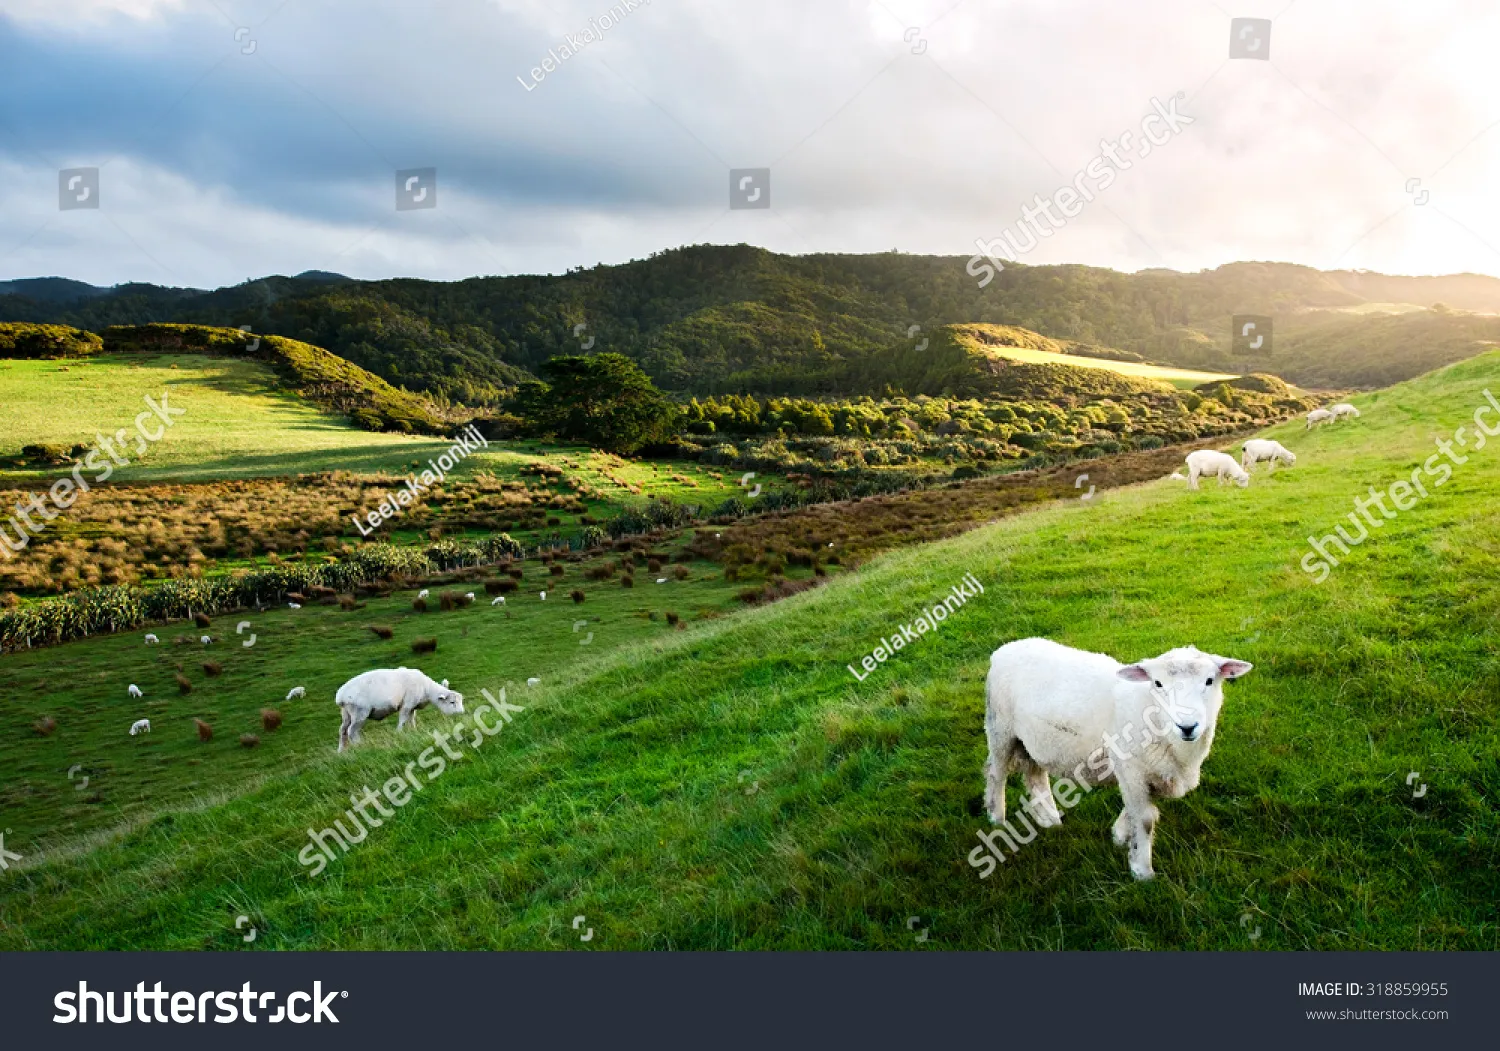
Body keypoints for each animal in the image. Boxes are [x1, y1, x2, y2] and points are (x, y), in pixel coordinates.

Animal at [335, 667, 464, 752]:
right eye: (452, 702)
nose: (461, 713)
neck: (427, 689)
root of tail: (340, 696)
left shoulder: (412, 706)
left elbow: (412, 719)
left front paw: (414, 731)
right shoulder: (407, 704)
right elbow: (402, 720)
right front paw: (399, 734)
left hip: (346, 713)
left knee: (342, 730)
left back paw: (341, 751)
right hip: (360, 712)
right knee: (351, 731)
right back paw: (360, 746)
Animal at [982, 638, 1253, 880]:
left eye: (1209, 680)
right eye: (1158, 683)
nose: (1187, 726)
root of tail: (1004, 649)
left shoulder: (1150, 771)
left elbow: (1137, 811)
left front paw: (1120, 836)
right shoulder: (1130, 768)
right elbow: (1145, 819)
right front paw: (1142, 871)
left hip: (1035, 740)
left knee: (1035, 775)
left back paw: (1049, 819)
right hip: (1000, 728)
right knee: (997, 773)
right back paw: (997, 818)